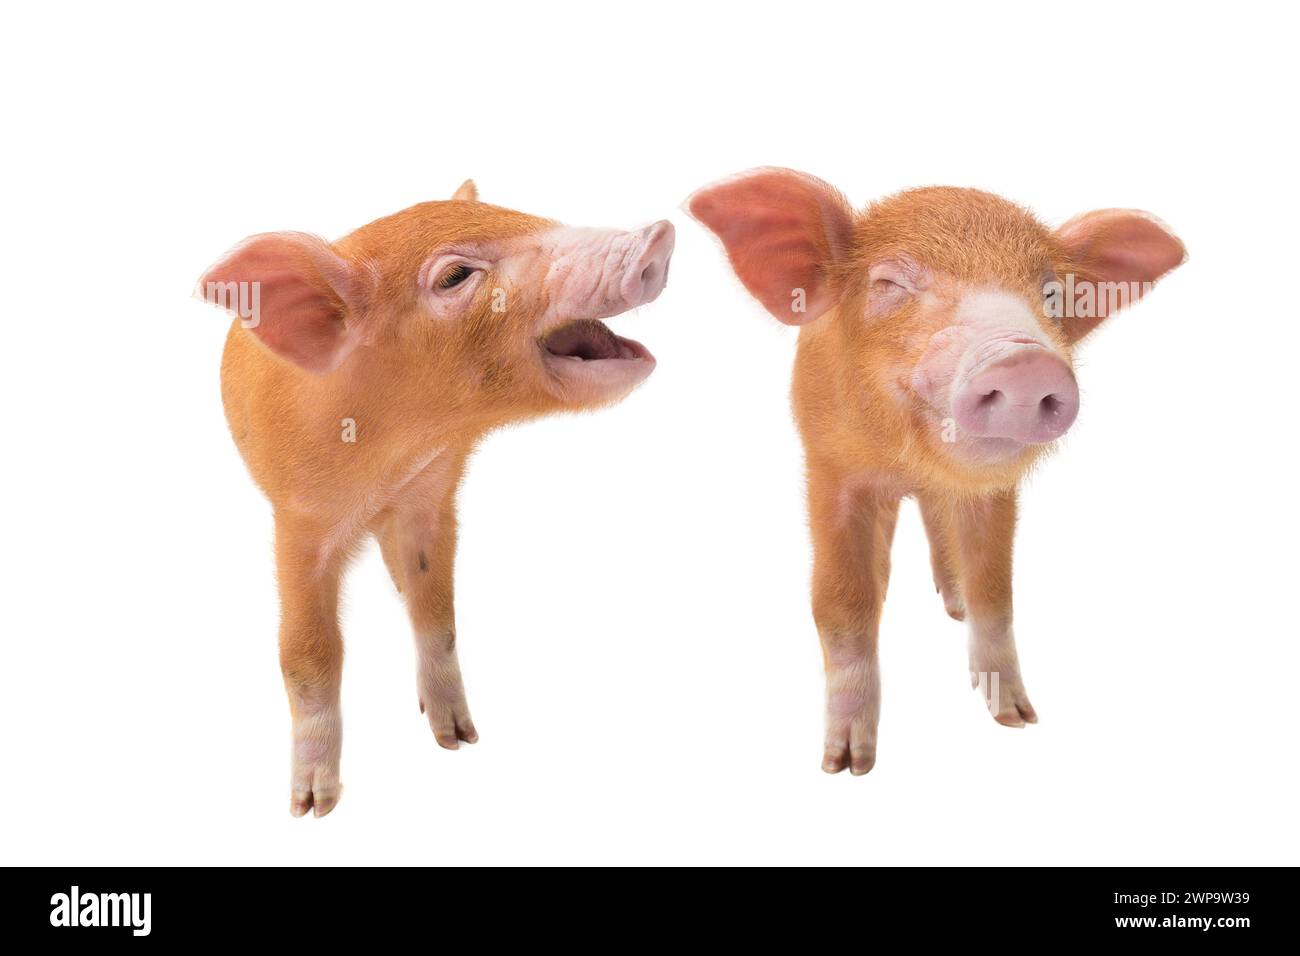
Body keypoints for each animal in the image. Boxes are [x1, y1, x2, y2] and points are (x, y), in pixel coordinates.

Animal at [198, 181, 674, 815]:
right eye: (454, 277)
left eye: (519, 214)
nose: (660, 234)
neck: (398, 458)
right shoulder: (298, 522)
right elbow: (308, 653)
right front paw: (313, 806)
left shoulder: (432, 499)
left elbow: (437, 612)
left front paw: (459, 740)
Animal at [688, 168, 1184, 775]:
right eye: (890, 283)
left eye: (1051, 293)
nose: (1022, 360)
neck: (906, 461)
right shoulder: (831, 471)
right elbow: (842, 602)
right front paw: (847, 764)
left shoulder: (992, 492)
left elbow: (995, 590)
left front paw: (1017, 718)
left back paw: (953, 604)